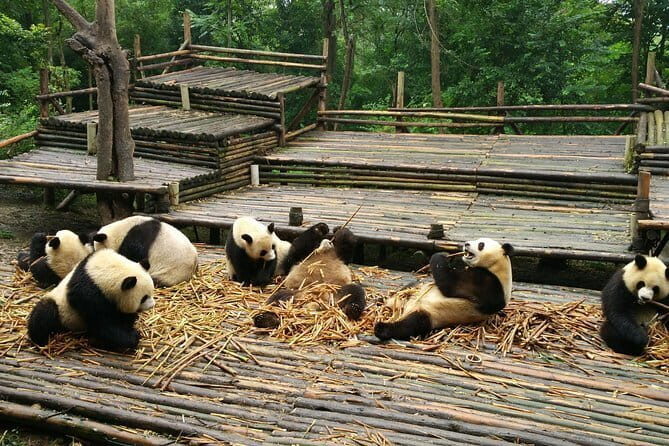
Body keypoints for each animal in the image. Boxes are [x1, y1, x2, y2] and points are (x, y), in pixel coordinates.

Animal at [27, 249, 155, 352]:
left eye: (151, 292)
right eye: (143, 298)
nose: (152, 305)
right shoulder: (88, 295)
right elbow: (103, 323)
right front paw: (132, 337)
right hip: (61, 310)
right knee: (44, 312)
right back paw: (40, 340)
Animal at [375, 237, 513, 341]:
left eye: (481, 245)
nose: (466, 244)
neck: (497, 267)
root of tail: (402, 308)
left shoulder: (487, 283)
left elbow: (451, 284)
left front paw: (441, 255)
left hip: (430, 314)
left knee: (411, 325)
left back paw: (381, 329)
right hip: (416, 290)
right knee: (412, 285)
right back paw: (383, 299)